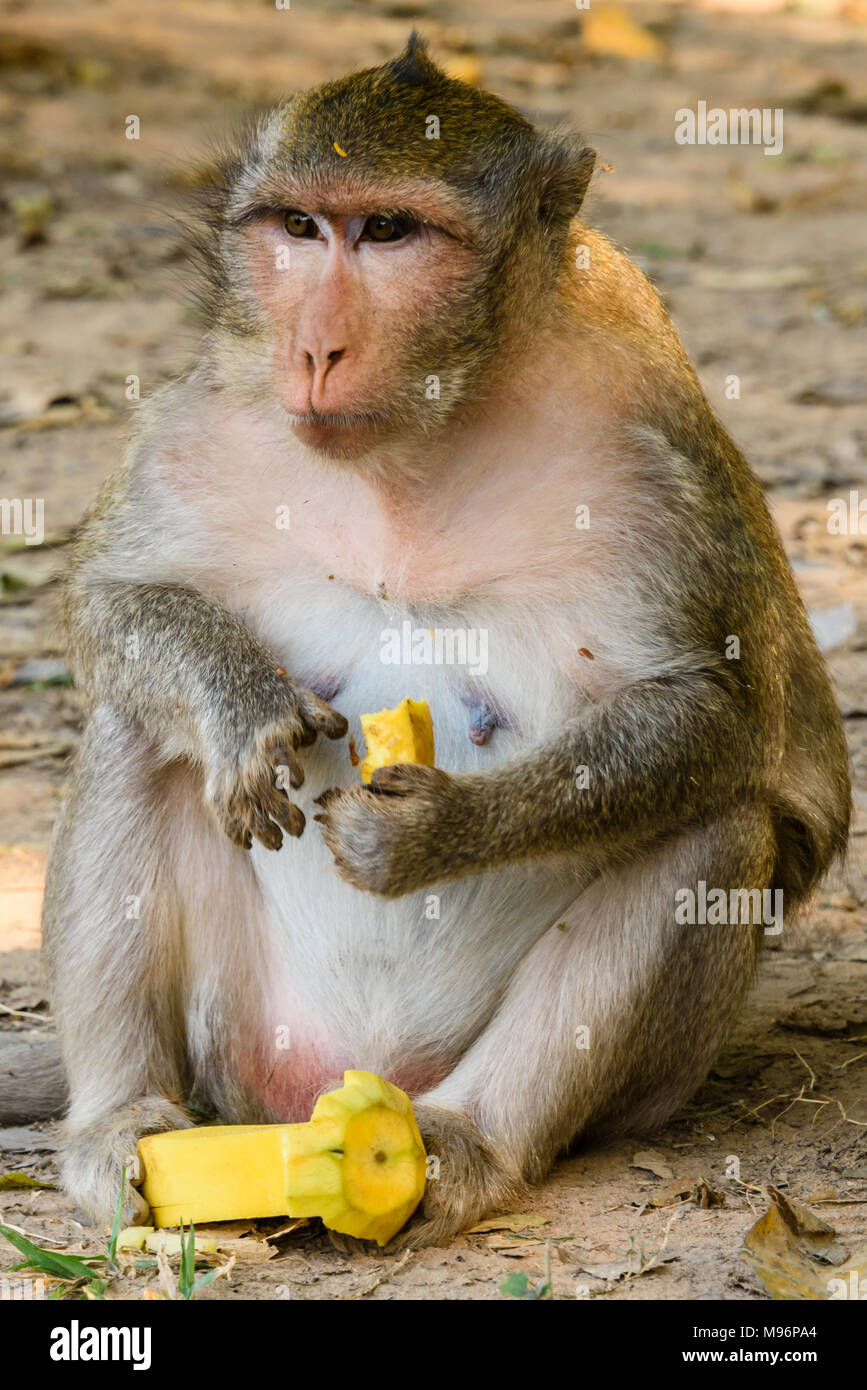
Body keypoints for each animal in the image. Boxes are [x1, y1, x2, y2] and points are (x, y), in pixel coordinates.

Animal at [1, 34, 849, 1248]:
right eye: (300, 227)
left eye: (391, 232)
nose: (315, 348)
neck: (418, 440)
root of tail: (331, 1078)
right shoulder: (203, 414)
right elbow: (114, 599)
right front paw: (236, 704)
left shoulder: (657, 457)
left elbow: (715, 712)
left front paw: (434, 834)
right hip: (235, 1033)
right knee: (132, 733)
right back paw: (121, 1118)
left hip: (630, 1082)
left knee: (715, 831)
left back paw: (467, 1139)